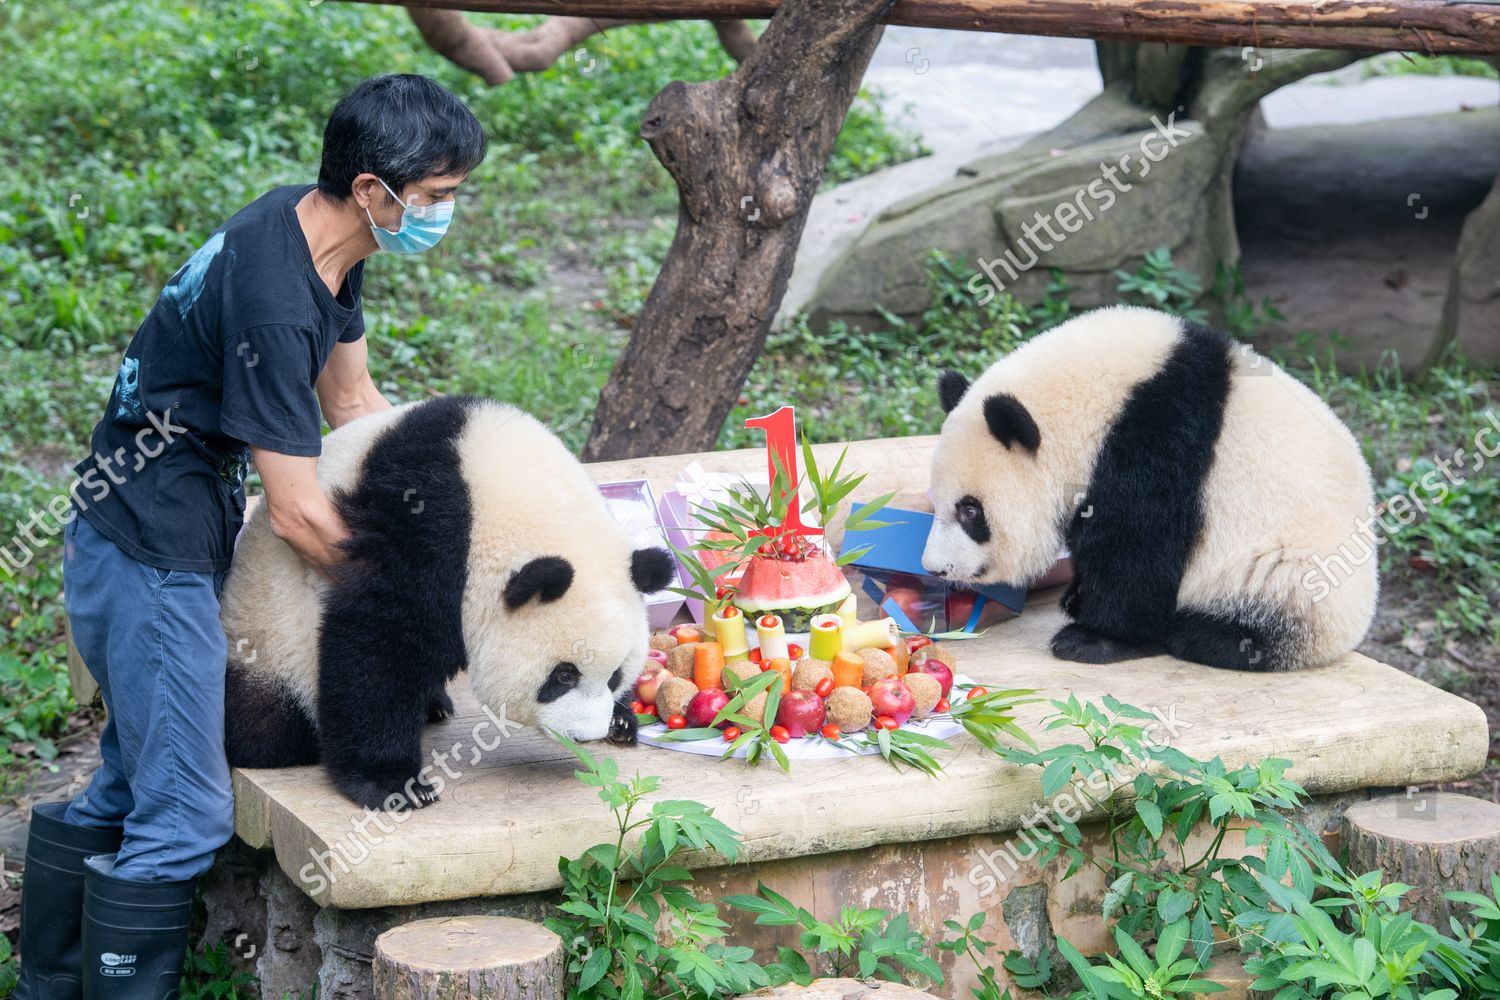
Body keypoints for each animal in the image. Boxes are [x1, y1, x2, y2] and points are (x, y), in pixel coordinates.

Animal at [219, 396, 676, 809]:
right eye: (563, 675)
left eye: (615, 675)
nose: (588, 735)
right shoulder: (425, 526)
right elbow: (380, 644)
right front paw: (395, 785)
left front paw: (622, 719)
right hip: (270, 628)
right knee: (267, 721)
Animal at [924, 305, 1378, 673]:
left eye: (970, 511)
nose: (936, 568)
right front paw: (1078, 600)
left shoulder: (1157, 441)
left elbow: (1138, 547)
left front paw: (1095, 638)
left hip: (1293, 570)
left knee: (1261, 606)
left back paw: (1202, 634)